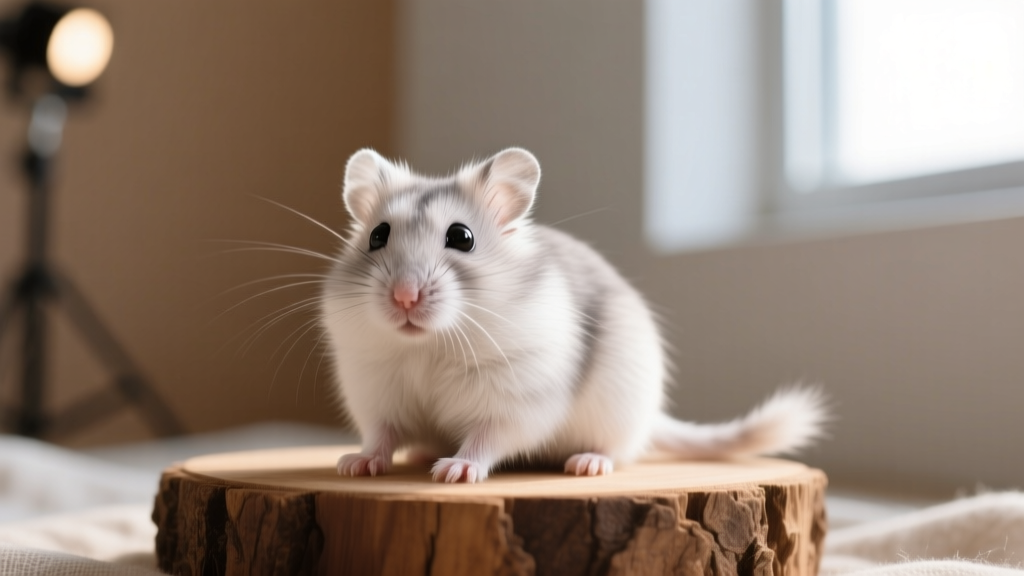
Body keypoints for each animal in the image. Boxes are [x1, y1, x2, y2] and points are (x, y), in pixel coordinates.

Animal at [321, 147, 827, 483]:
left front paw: (454, 472)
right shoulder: (374, 392)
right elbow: (380, 436)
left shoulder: (513, 402)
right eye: (378, 236)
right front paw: (354, 465)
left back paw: (585, 464)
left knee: (618, 452)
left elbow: (486, 439)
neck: (430, 344)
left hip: (620, 410)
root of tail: (653, 417)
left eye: (462, 237)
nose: (404, 298)